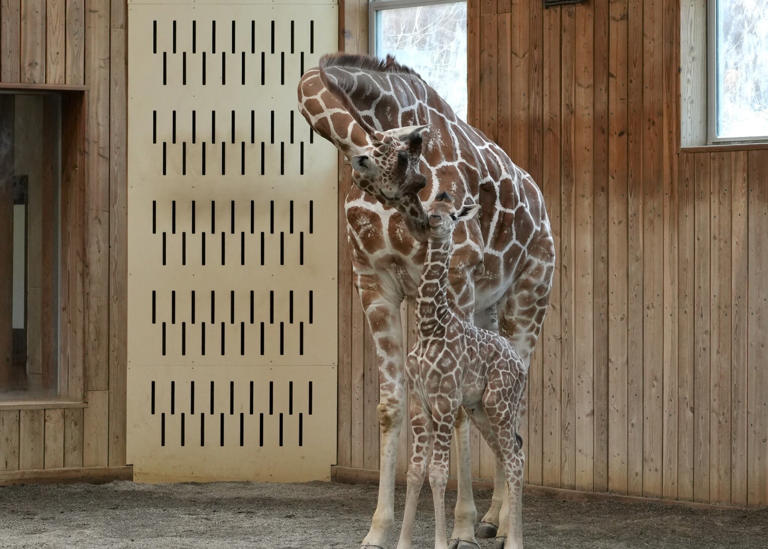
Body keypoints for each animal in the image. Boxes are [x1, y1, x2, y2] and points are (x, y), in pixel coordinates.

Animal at [397, 194, 528, 549]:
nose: (432, 222)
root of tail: (520, 365)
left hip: (499, 403)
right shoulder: (418, 403)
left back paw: (514, 541)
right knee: (511, 453)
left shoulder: (444, 402)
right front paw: (402, 542)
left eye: (452, 215)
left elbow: (439, 473)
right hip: (479, 408)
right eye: (430, 209)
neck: (430, 325)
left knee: (514, 459)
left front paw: (443, 543)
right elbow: (415, 472)